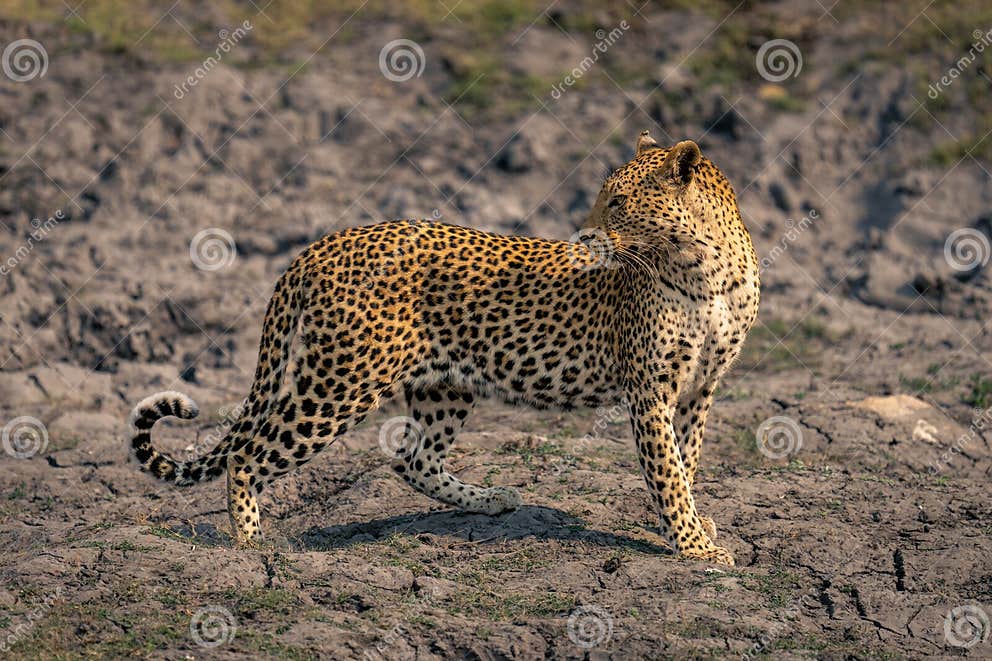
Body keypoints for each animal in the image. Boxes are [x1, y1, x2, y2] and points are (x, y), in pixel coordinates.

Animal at [127, 131, 760, 566]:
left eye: (620, 204)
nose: (582, 237)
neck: (704, 270)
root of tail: (322, 243)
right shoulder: (650, 389)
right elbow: (667, 470)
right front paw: (697, 549)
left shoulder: (699, 388)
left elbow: (685, 462)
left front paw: (690, 529)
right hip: (340, 383)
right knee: (247, 453)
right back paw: (252, 544)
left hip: (443, 383)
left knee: (413, 458)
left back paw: (492, 499)